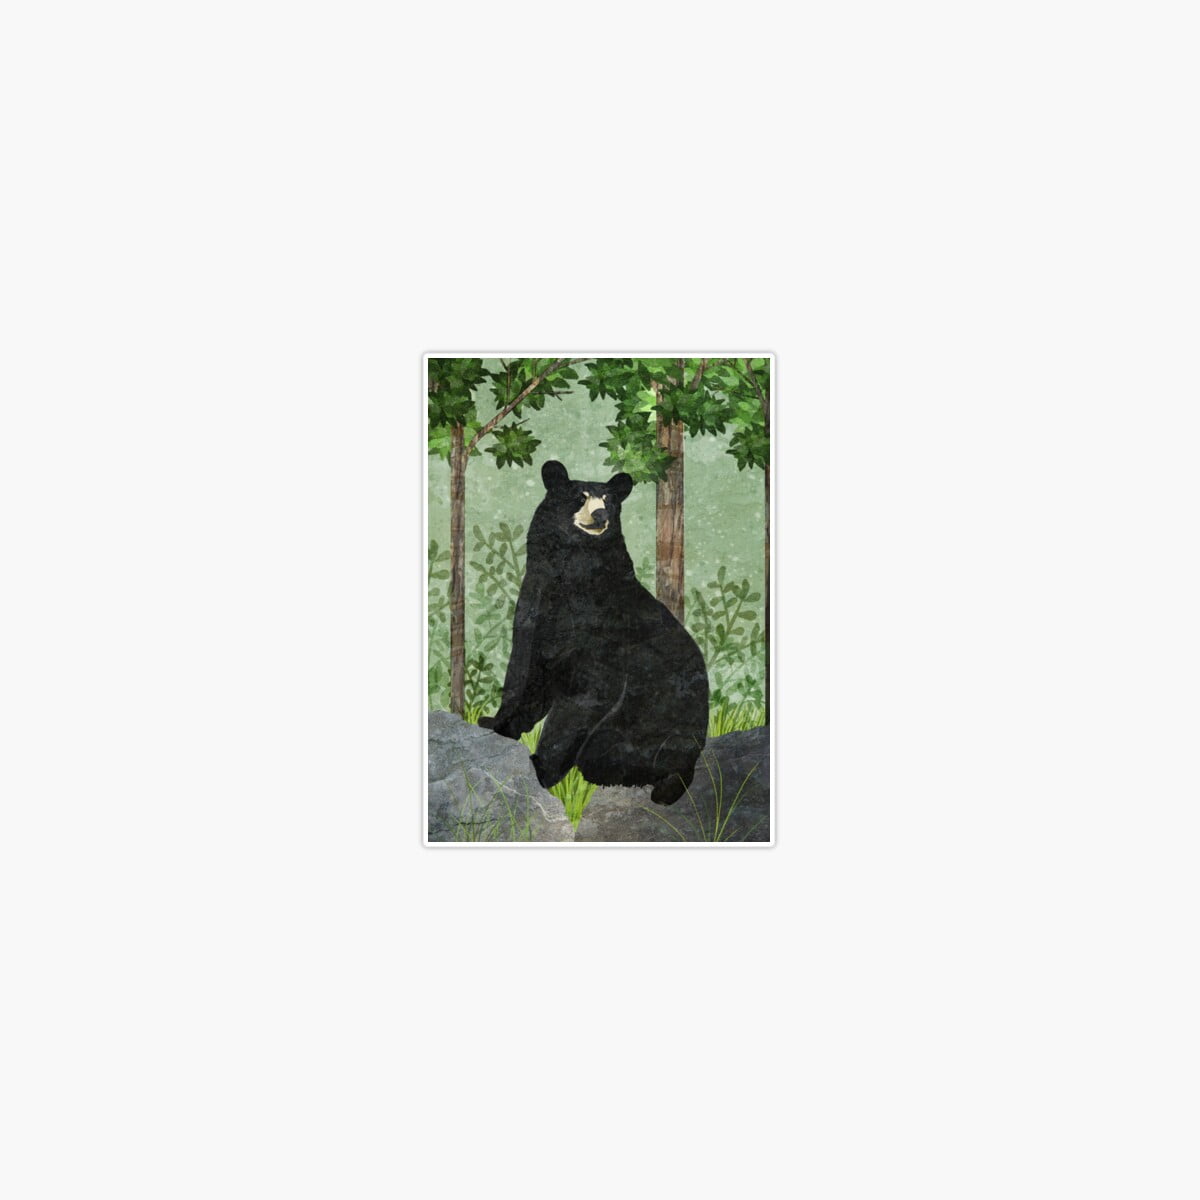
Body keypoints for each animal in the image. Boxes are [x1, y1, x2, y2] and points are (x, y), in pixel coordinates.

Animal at [479, 459, 709, 806]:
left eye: (610, 499)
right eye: (580, 496)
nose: (601, 515)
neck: (570, 575)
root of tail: (694, 756)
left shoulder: (604, 629)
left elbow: (587, 693)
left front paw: (540, 768)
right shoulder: (535, 604)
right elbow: (526, 670)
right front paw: (496, 723)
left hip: (649, 735)